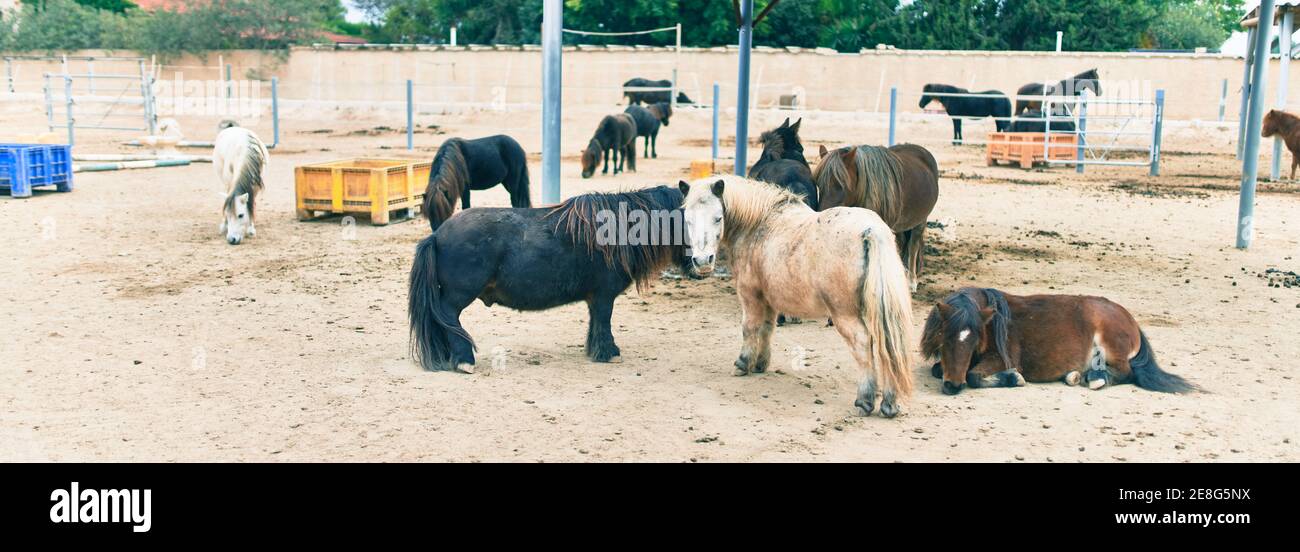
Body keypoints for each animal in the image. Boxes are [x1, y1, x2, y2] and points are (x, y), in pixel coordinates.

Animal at [409, 186, 687, 373]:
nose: (697, 261)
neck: (615, 231)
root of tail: (437, 235)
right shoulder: (604, 295)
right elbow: (604, 321)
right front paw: (609, 352)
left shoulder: (595, 298)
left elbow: (595, 322)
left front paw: (595, 350)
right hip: (458, 296)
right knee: (448, 317)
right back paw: (464, 360)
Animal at [679, 175, 915, 417]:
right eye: (688, 220)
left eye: (718, 218)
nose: (702, 261)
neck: (759, 224)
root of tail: (870, 230)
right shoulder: (769, 299)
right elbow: (767, 328)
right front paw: (760, 364)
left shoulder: (750, 294)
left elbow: (749, 327)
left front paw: (743, 364)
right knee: (887, 346)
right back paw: (889, 404)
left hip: (845, 315)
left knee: (863, 344)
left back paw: (865, 400)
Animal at [813, 143, 939, 291]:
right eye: (818, 184)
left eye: (841, 184)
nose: (821, 218)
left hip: (920, 221)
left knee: (913, 246)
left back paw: (911, 281)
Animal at [921, 287, 1195, 395]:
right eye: (944, 340)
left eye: (974, 340)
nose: (953, 386)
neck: (992, 325)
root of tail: (1130, 318)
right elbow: (937, 369)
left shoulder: (1000, 359)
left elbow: (974, 376)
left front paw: (1014, 378)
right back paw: (1075, 375)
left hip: (1110, 347)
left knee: (1125, 372)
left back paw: (1095, 379)